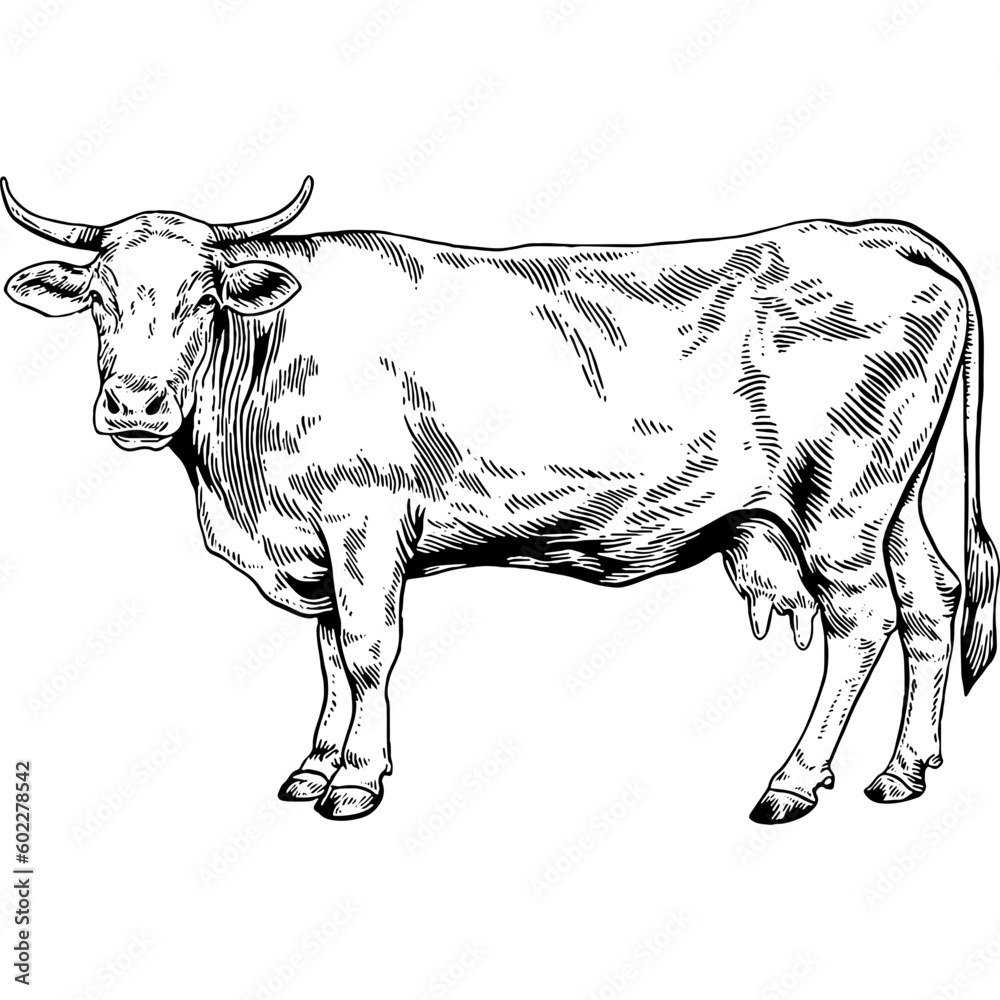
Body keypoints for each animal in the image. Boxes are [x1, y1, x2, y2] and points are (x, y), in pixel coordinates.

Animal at [3, 176, 996, 823]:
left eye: (202, 297)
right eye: (99, 299)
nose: (134, 404)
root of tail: (875, 232)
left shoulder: (363, 521)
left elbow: (365, 652)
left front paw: (355, 781)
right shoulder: (319, 545)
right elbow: (327, 658)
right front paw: (314, 767)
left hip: (841, 499)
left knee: (863, 621)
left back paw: (792, 783)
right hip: (894, 499)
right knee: (931, 600)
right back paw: (905, 770)